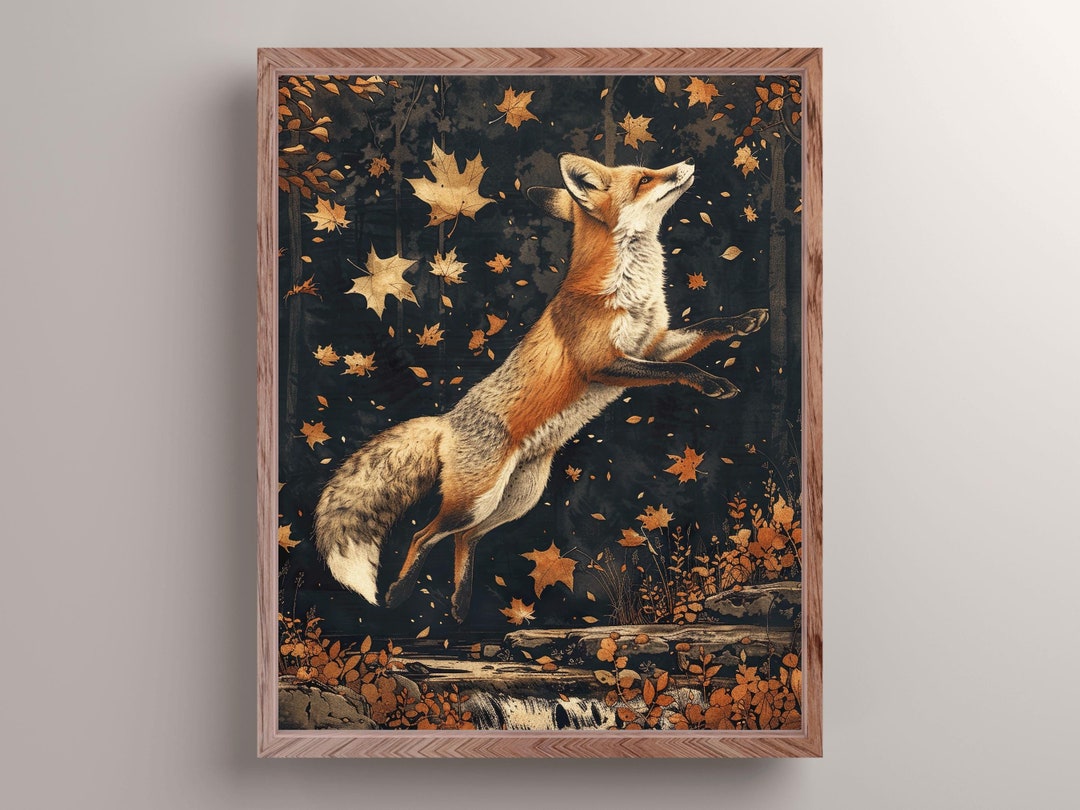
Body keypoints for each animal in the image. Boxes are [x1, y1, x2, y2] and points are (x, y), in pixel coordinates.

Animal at [314, 153, 768, 622]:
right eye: (645, 178)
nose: (690, 162)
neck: (625, 288)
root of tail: (447, 421)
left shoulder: (652, 344)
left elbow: (705, 330)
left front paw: (745, 321)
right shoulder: (602, 364)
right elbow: (683, 368)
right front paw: (715, 383)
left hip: (518, 498)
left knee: (466, 537)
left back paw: (460, 605)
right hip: (476, 499)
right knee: (425, 534)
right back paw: (399, 594)